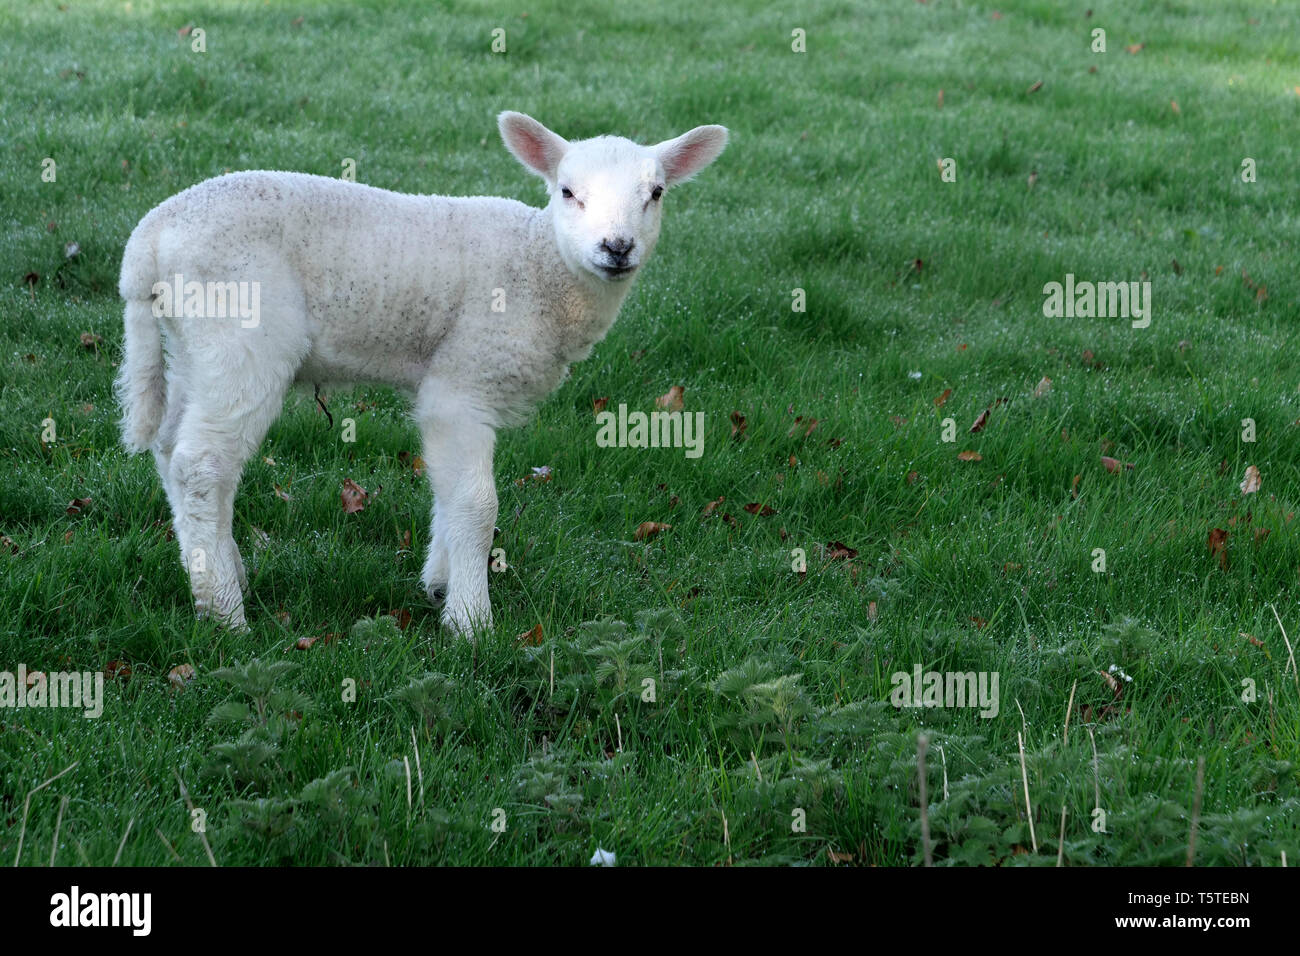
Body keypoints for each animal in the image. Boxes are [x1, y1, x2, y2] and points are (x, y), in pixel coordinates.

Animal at [114, 111, 728, 635]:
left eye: (656, 194)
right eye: (567, 192)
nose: (617, 247)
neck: (540, 267)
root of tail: (148, 238)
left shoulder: (451, 386)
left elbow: (447, 492)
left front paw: (438, 583)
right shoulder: (464, 382)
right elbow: (477, 506)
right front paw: (471, 622)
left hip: (194, 345)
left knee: (170, 448)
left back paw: (219, 573)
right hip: (239, 335)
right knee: (201, 465)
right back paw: (224, 613)